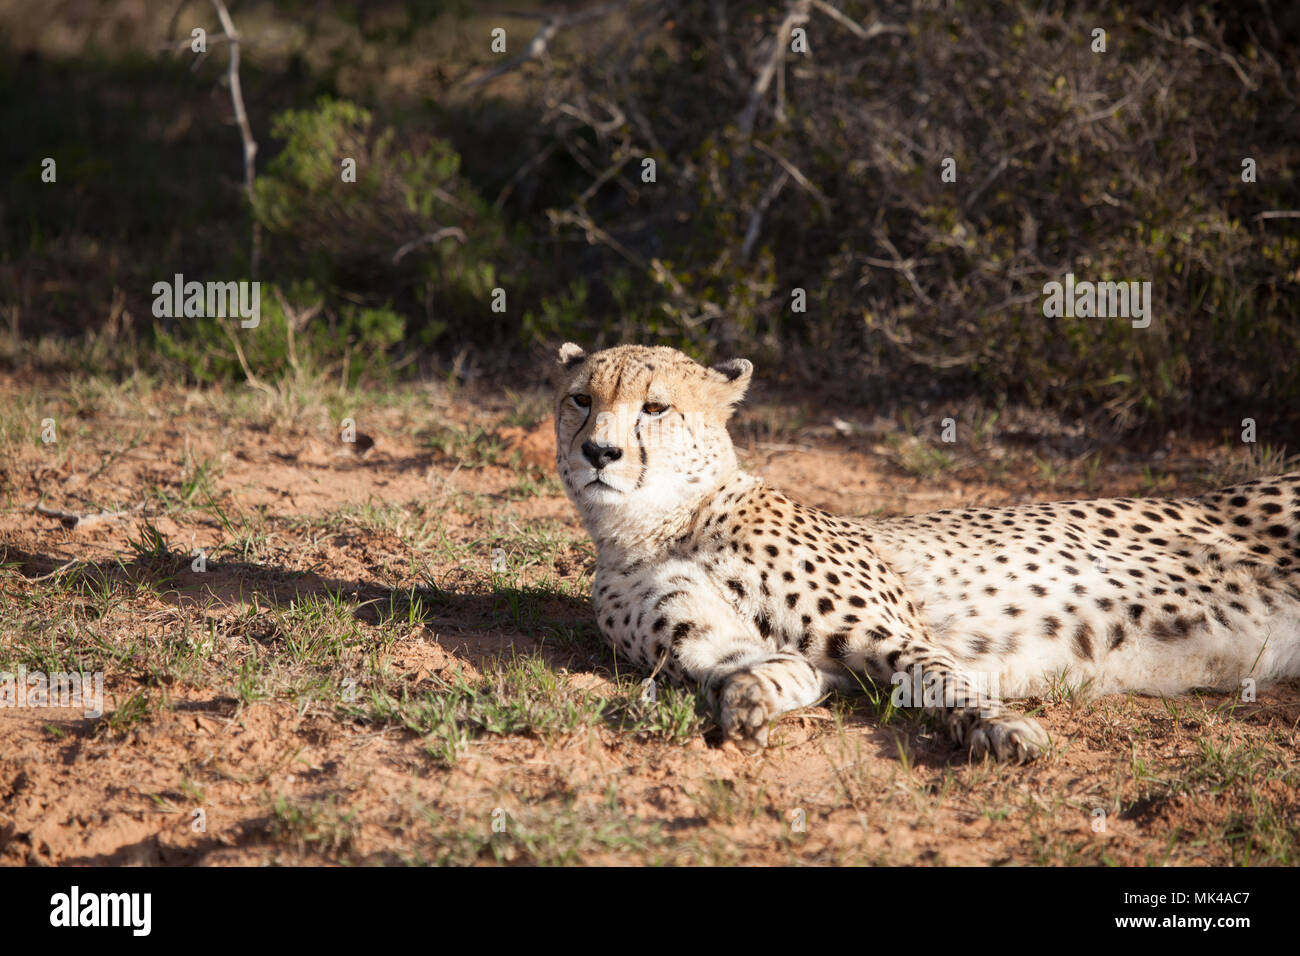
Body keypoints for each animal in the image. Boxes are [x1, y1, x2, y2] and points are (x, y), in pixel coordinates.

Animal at [553, 342, 1300, 762]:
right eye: (580, 399)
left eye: (655, 407)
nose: (599, 453)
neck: (661, 525)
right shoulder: (742, 652)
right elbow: (756, 674)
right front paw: (745, 713)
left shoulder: (896, 635)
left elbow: (945, 680)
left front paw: (1002, 731)